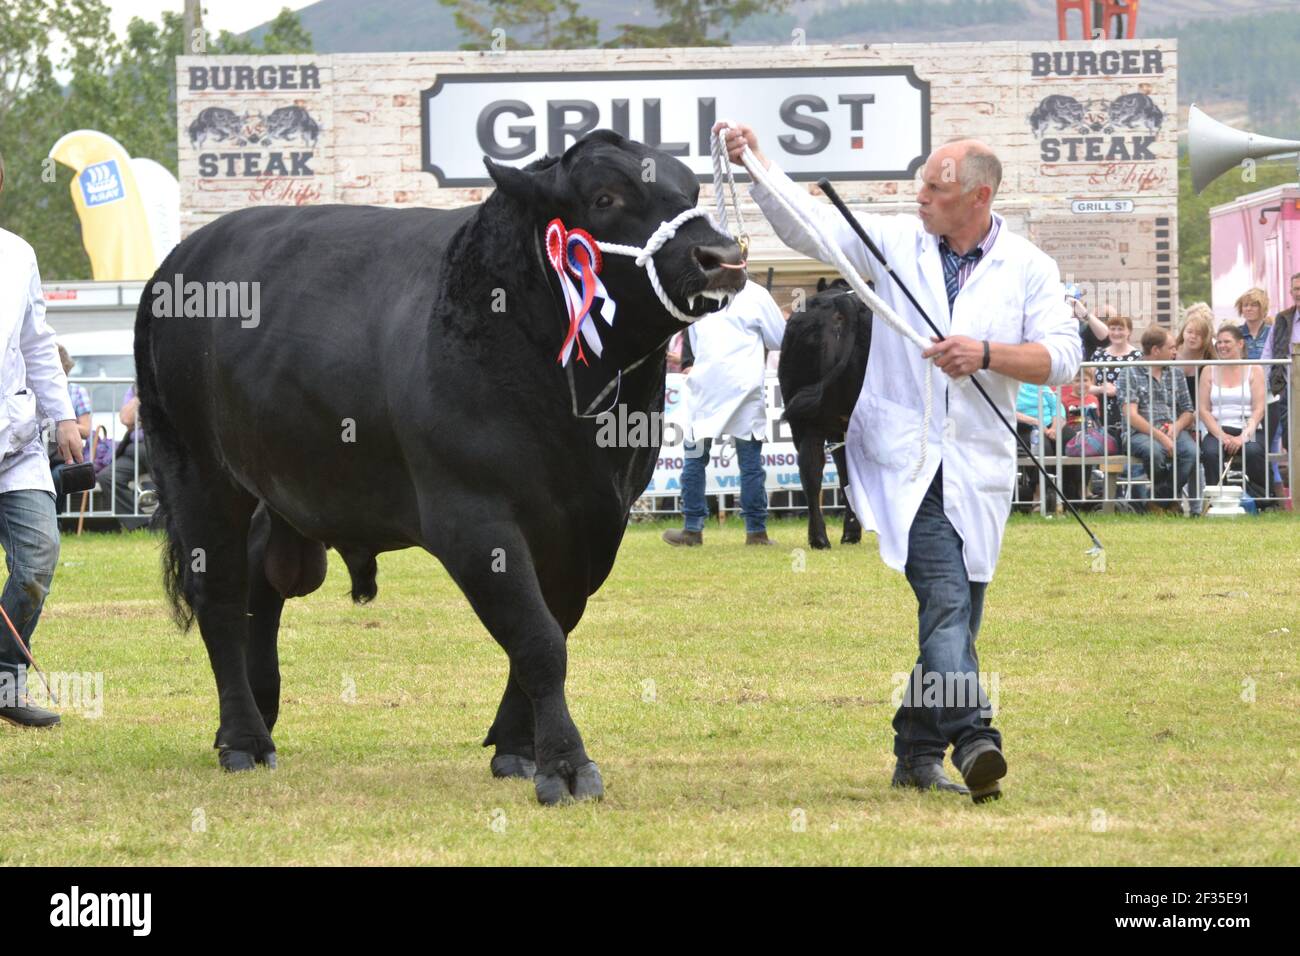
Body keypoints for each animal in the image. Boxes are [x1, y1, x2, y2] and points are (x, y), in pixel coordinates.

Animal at [134, 129, 746, 805]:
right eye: (606, 197)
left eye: (691, 189)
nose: (722, 255)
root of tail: (180, 259)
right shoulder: (473, 518)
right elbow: (538, 640)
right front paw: (565, 765)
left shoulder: (592, 526)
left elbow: (553, 626)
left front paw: (516, 748)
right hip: (197, 472)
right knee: (218, 596)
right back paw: (244, 740)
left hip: (277, 487)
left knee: (260, 588)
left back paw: (256, 718)